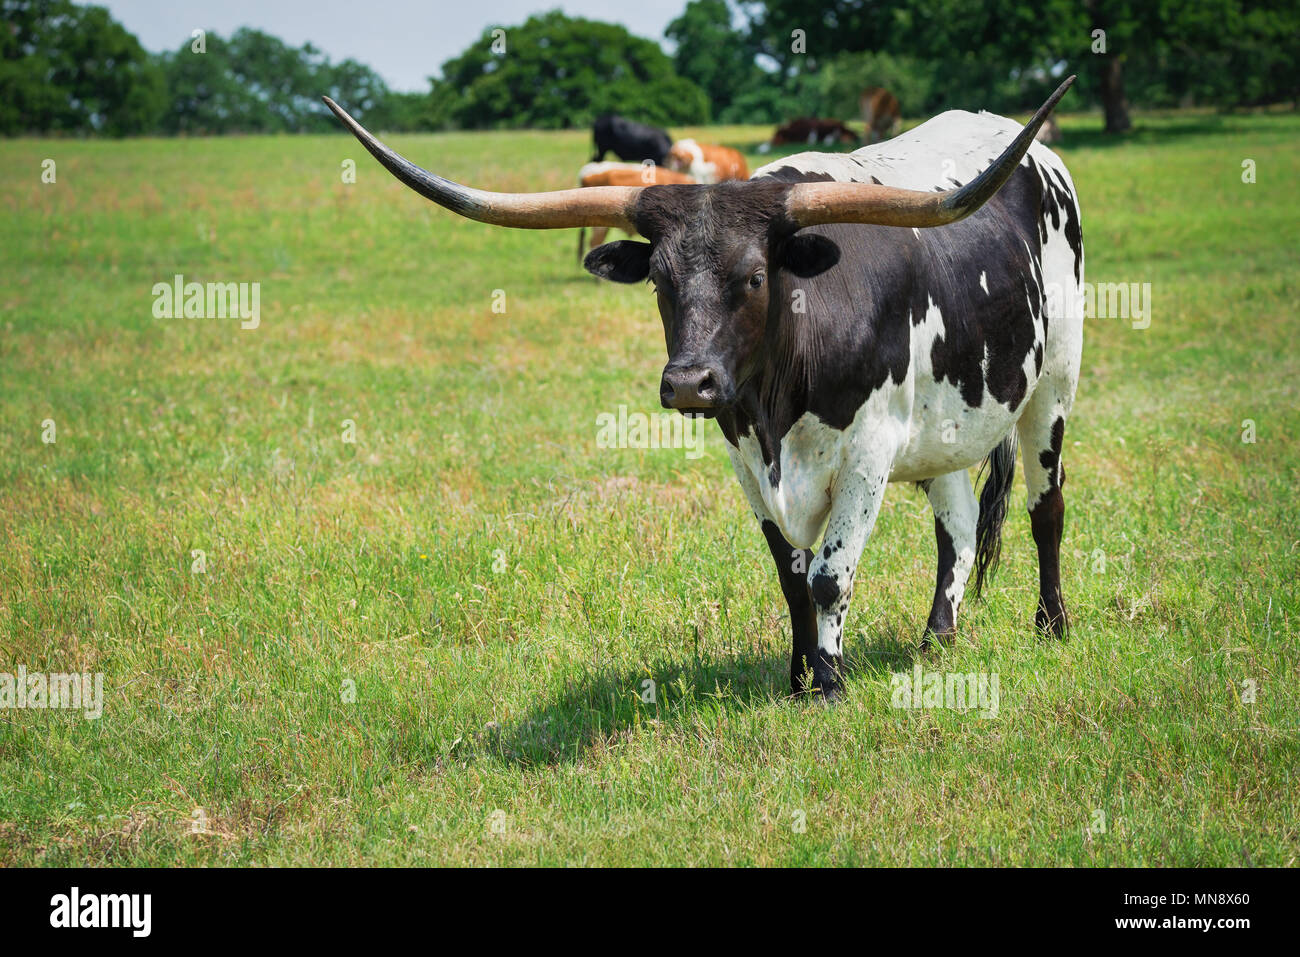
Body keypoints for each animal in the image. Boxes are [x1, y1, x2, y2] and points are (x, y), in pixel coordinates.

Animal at [323, 75, 1083, 702]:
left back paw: (1052, 625)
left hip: (1054, 385)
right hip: (945, 424)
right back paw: (936, 638)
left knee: (1045, 507)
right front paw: (799, 679)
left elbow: (828, 575)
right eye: (659, 280)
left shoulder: (869, 449)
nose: (689, 383)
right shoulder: (748, 459)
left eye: (755, 276)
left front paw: (831, 686)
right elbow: (791, 578)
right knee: (957, 524)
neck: (779, 404)